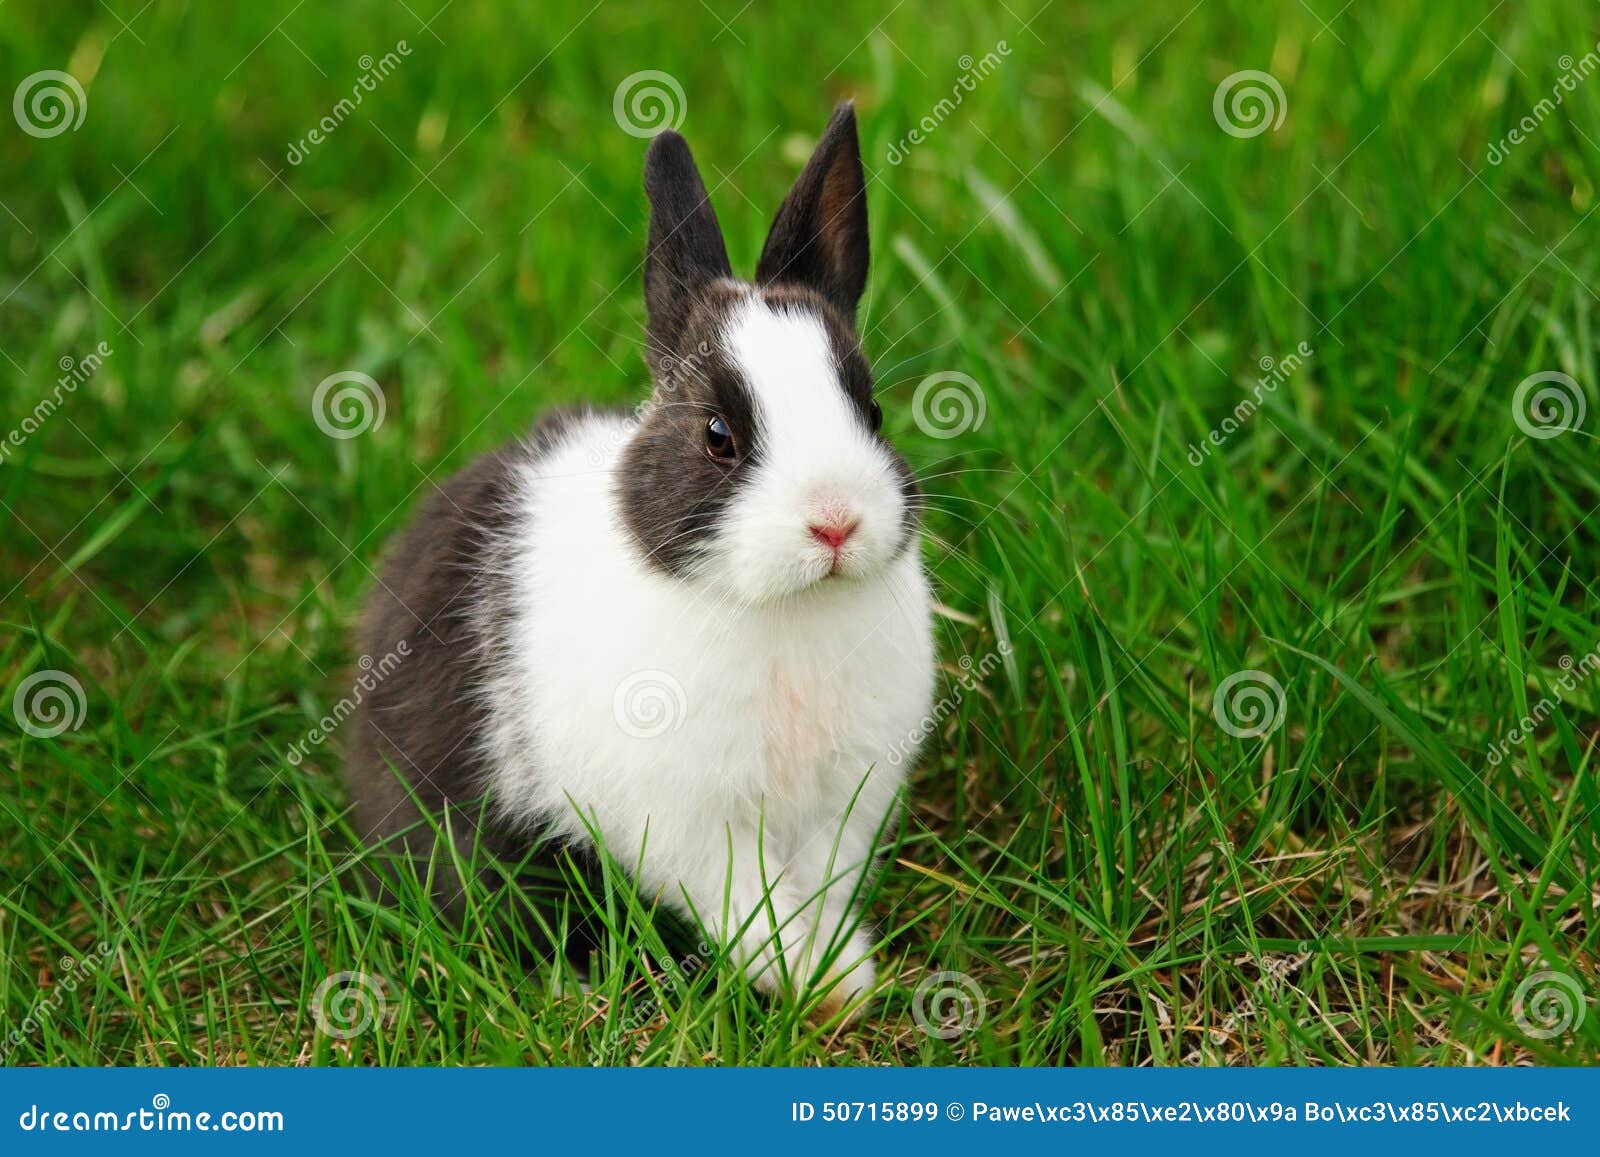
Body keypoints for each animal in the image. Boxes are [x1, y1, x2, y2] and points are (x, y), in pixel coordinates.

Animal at [346, 102, 934, 1018]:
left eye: (871, 410)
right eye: (718, 435)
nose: (835, 523)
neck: (783, 608)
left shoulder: (843, 805)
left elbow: (820, 887)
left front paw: (843, 978)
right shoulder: (691, 823)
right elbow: (749, 903)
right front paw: (811, 982)